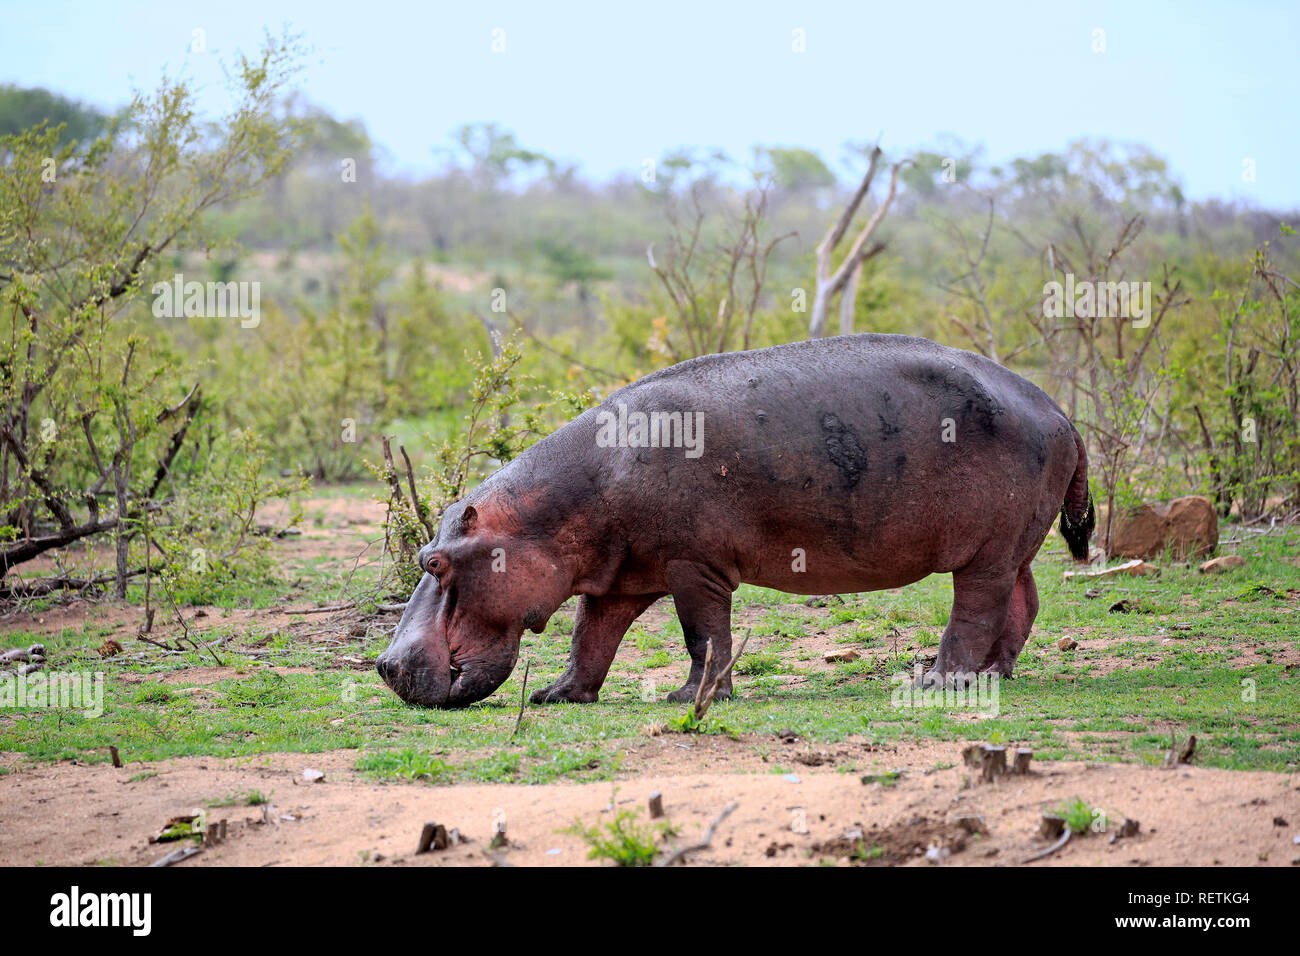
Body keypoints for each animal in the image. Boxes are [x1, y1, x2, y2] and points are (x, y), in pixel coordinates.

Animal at [376, 333, 1094, 708]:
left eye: (436, 561)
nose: (383, 666)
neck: (550, 512)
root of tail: (1058, 409)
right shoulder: (620, 578)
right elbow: (589, 638)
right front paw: (555, 695)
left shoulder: (693, 567)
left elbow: (703, 636)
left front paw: (691, 698)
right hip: (1014, 543)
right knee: (1023, 601)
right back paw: (995, 675)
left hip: (984, 550)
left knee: (975, 609)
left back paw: (940, 679)